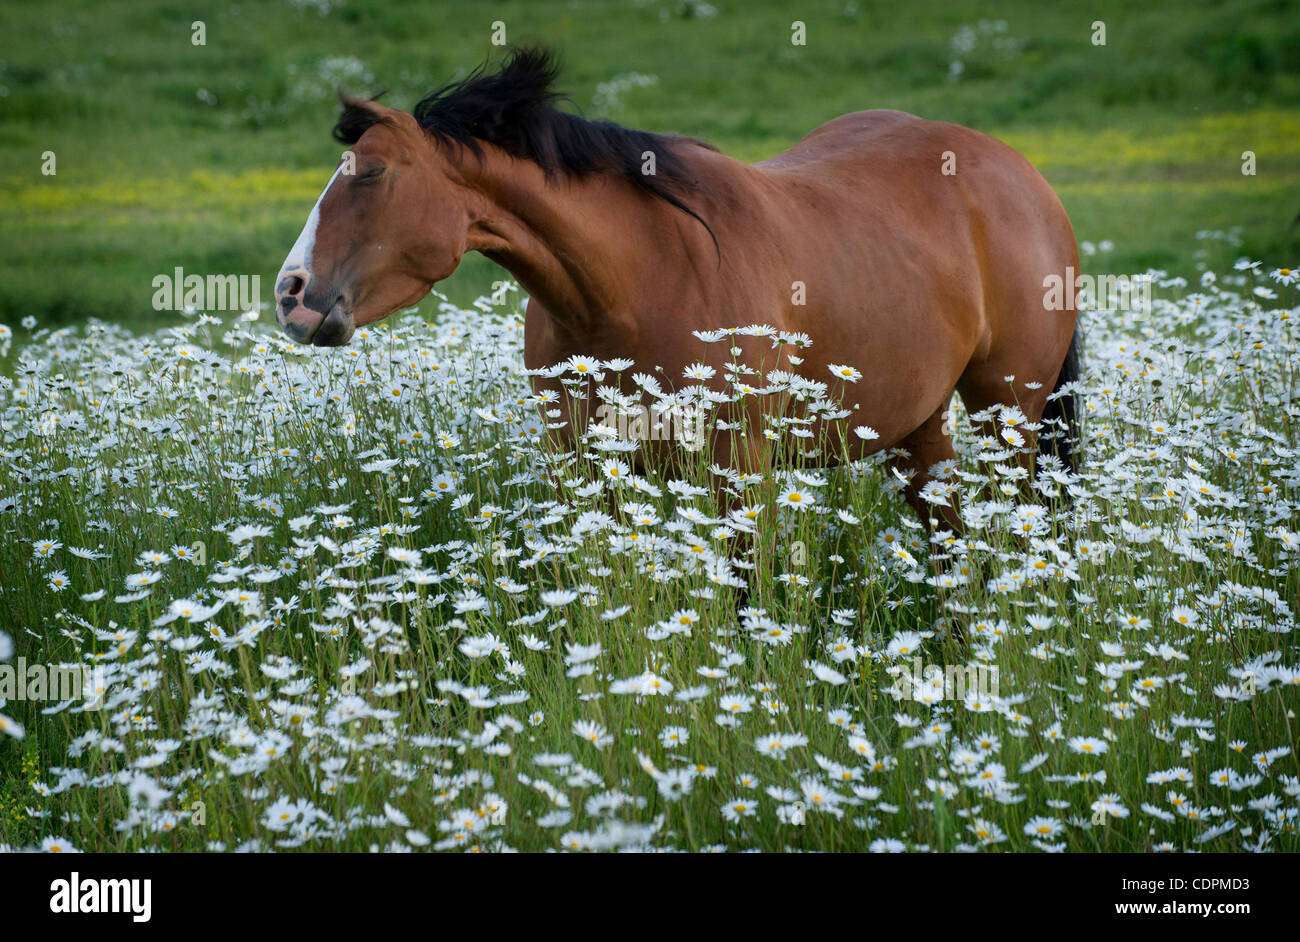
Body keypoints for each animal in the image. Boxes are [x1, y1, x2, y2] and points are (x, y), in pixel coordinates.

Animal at [273, 46, 1081, 532]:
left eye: (373, 173)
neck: (632, 285)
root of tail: (1020, 176)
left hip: (1008, 418)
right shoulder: (583, 467)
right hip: (920, 425)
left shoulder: (738, 469)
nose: (292, 292)